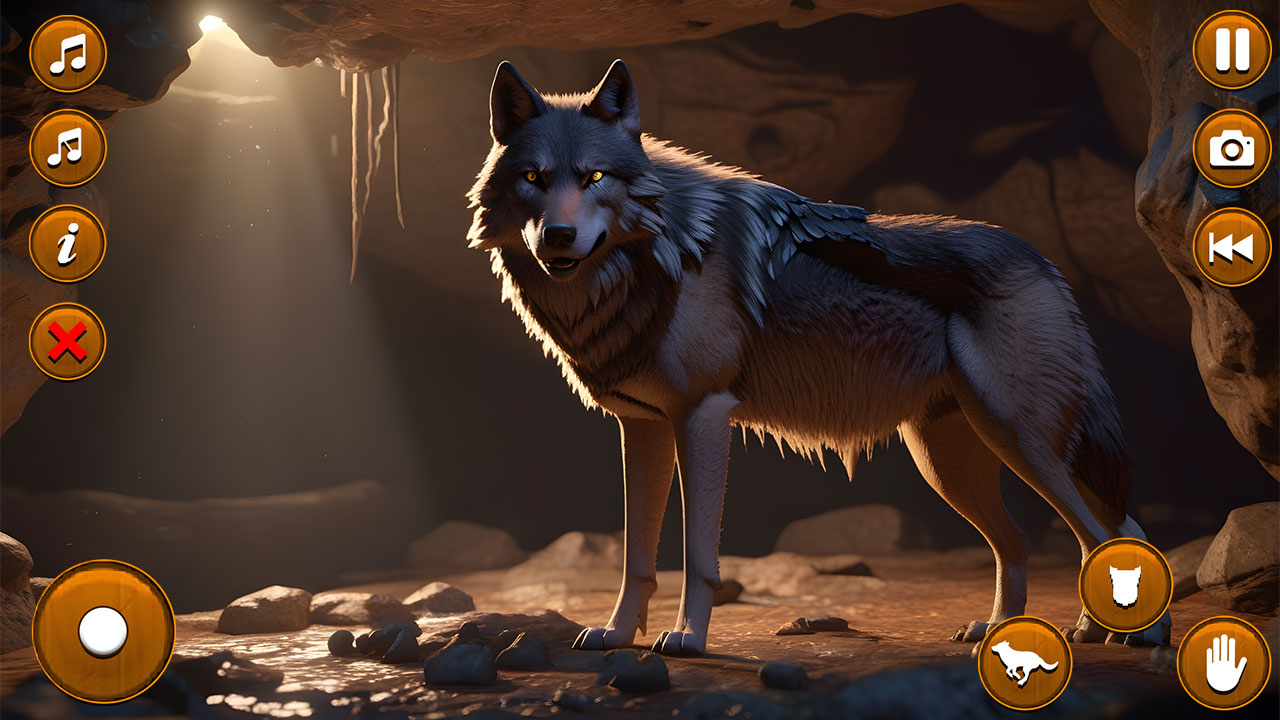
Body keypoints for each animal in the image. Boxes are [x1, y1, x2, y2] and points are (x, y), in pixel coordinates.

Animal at [466, 59, 1171, 655]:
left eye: (594, 177)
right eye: (533, 178)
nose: (558, 237)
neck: (657, 261)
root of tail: (1044, 260)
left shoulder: (702, 416)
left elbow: (696, 556)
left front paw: (688, 639)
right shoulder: (641, 427)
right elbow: (636, 556)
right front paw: (614, 636)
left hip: (1021, 442)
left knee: (1115, 528)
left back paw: (1132, 634)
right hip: (948, 463)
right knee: (1025, 541)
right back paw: (1001, 632)